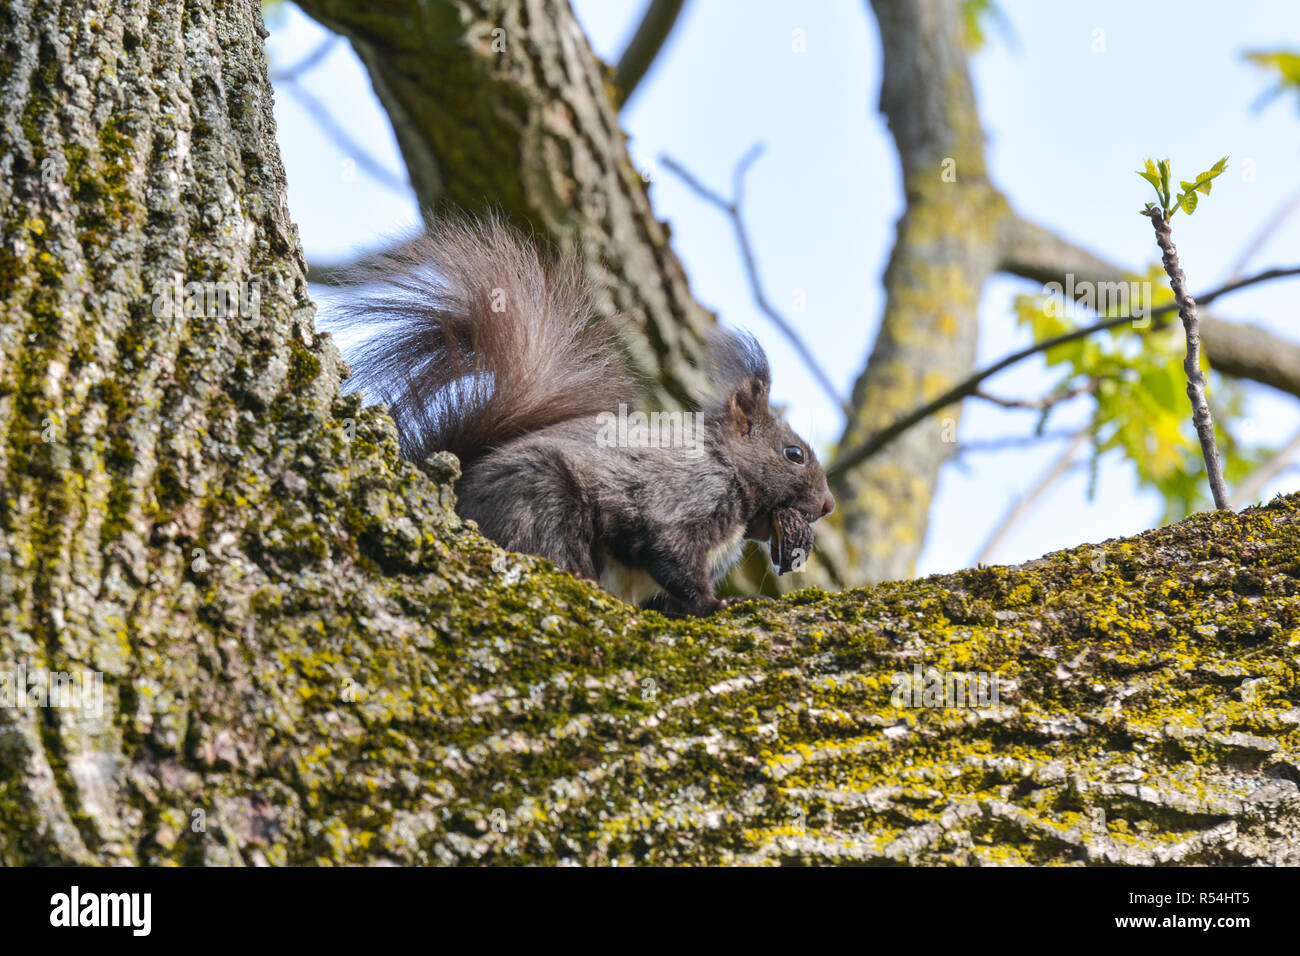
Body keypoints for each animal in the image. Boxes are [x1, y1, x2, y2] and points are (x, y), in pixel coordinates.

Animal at [338, 214, 834, 616]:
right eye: (793, 455)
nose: (828, 506)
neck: (725, 464)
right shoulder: (682, 498)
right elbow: (672, 555)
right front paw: (715, 604)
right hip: (541, 498)